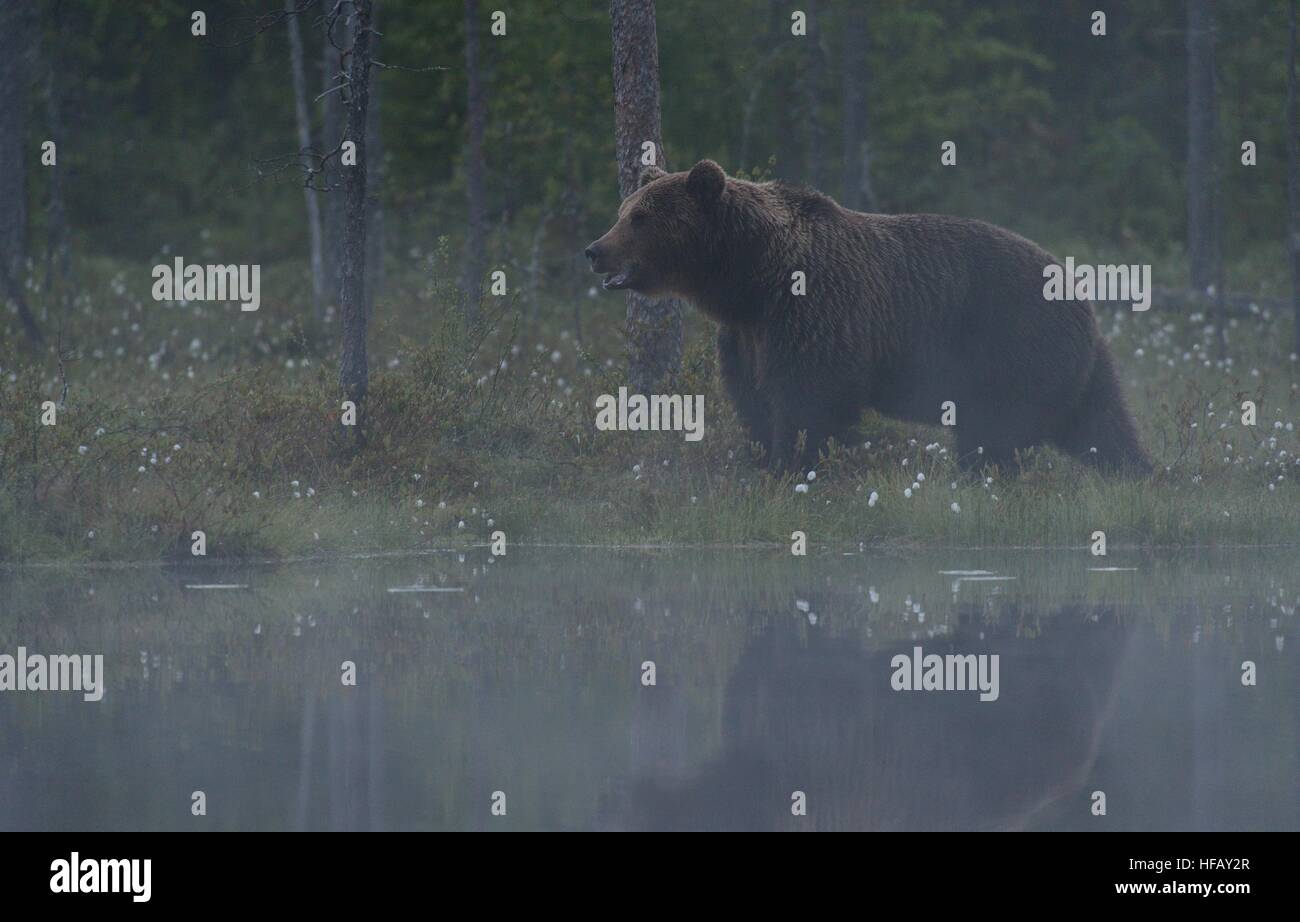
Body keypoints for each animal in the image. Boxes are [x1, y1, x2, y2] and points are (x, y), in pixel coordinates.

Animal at [586, 159, 1151, 475]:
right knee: (1101, 420)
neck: (750, 276)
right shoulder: (747, 333)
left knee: (999, 429)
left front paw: (796, 468)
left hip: (1011, 338)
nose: (595, 250)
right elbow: (754, 397)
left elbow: (811, 399)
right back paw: (1134, 472)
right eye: (623, 210)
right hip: (1074, 358)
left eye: (641, 217)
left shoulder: (813, 310)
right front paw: (762, 461)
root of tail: (1074, 284)